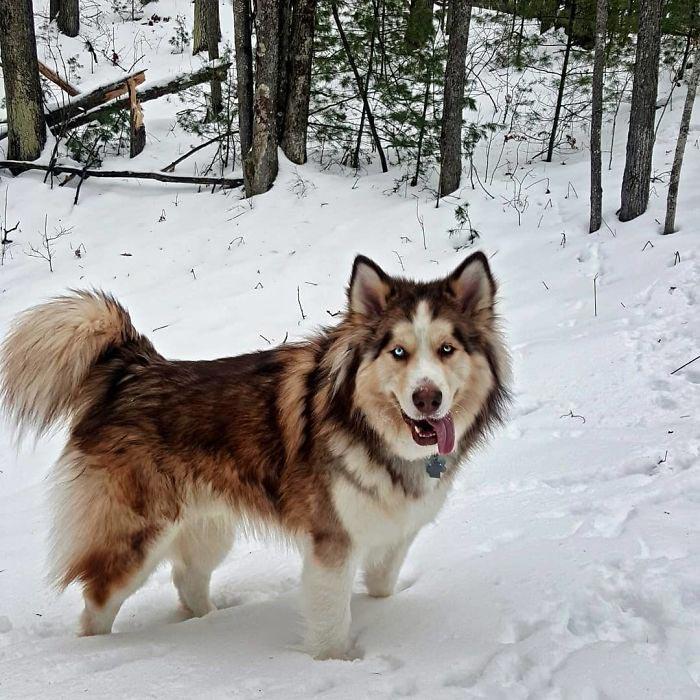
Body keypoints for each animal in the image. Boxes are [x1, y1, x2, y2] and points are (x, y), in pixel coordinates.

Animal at [2, 254, 512, 660]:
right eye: (399, 352)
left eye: (446, 350)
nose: (427, 398)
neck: (373, 432)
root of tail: (133, 368)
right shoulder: (332, 541)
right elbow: (331, 623)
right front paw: (339, 667)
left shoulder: (393, 533)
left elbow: (382, 589)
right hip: (136, 537)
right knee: (97, 604)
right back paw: (95, 655)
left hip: (208, 526)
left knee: (187, 579)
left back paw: (211, 624)